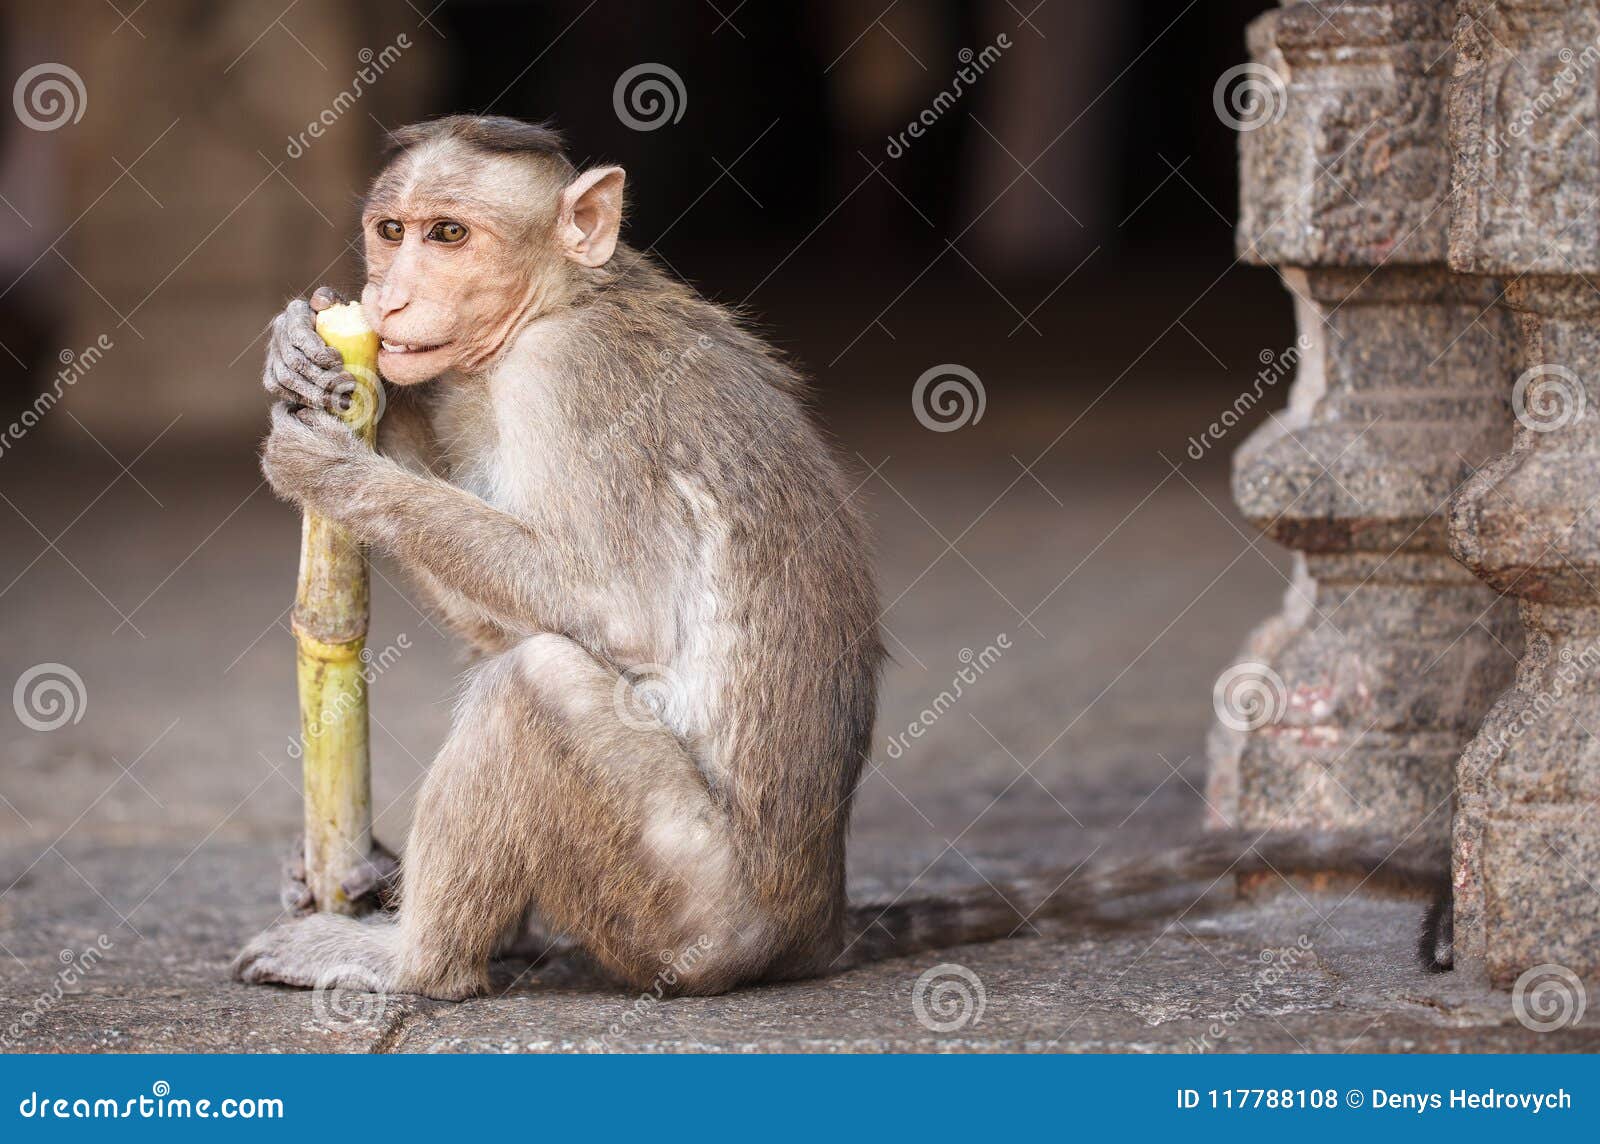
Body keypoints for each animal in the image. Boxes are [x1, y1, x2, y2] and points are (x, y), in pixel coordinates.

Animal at [233, 116, 1451, 1002]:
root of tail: (811, 922)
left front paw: (336, 467)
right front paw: (308, 360)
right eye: (391, 230)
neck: (561, 296)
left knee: (540, 681)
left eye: (448, 236)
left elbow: (611, 611)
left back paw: (420, 964)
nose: (390, 295)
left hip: (692, 914)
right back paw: (386, 888)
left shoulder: (566, 378)